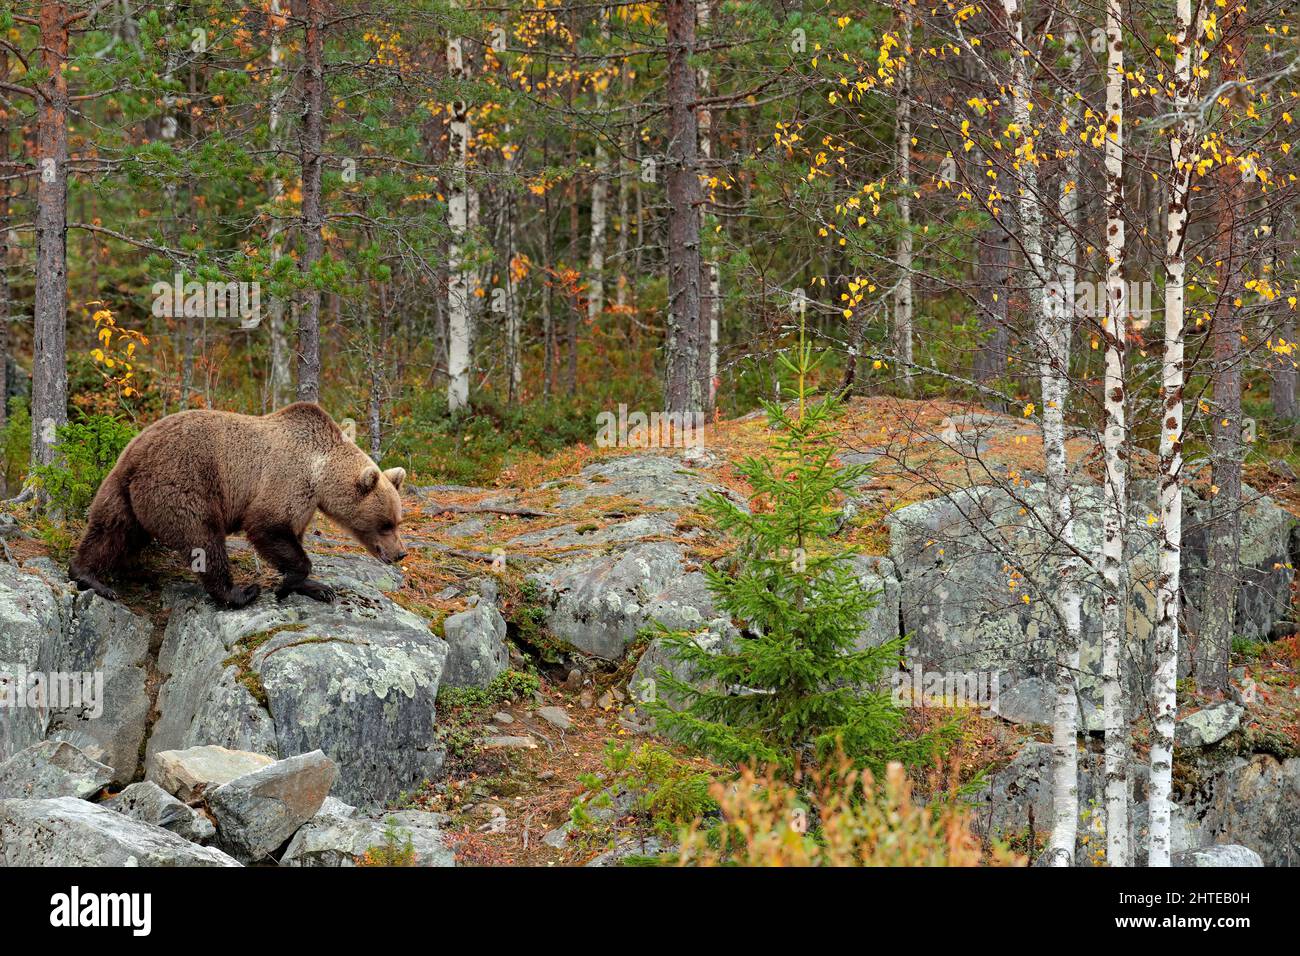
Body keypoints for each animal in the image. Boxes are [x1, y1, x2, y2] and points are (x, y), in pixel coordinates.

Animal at [69, 402, 408, 609]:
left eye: (397, 521)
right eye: (386, 524)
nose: (400, 553)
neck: (319, 471)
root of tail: (138, 453)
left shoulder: (305, 502)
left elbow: (290, 538)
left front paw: (318, 588)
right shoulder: (287, 479)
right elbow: (267, 525)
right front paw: (288, 584)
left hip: (119, 489)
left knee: (110, 530)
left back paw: (89, 575)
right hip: (184, 482)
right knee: (203, 539)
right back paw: (240, 592)